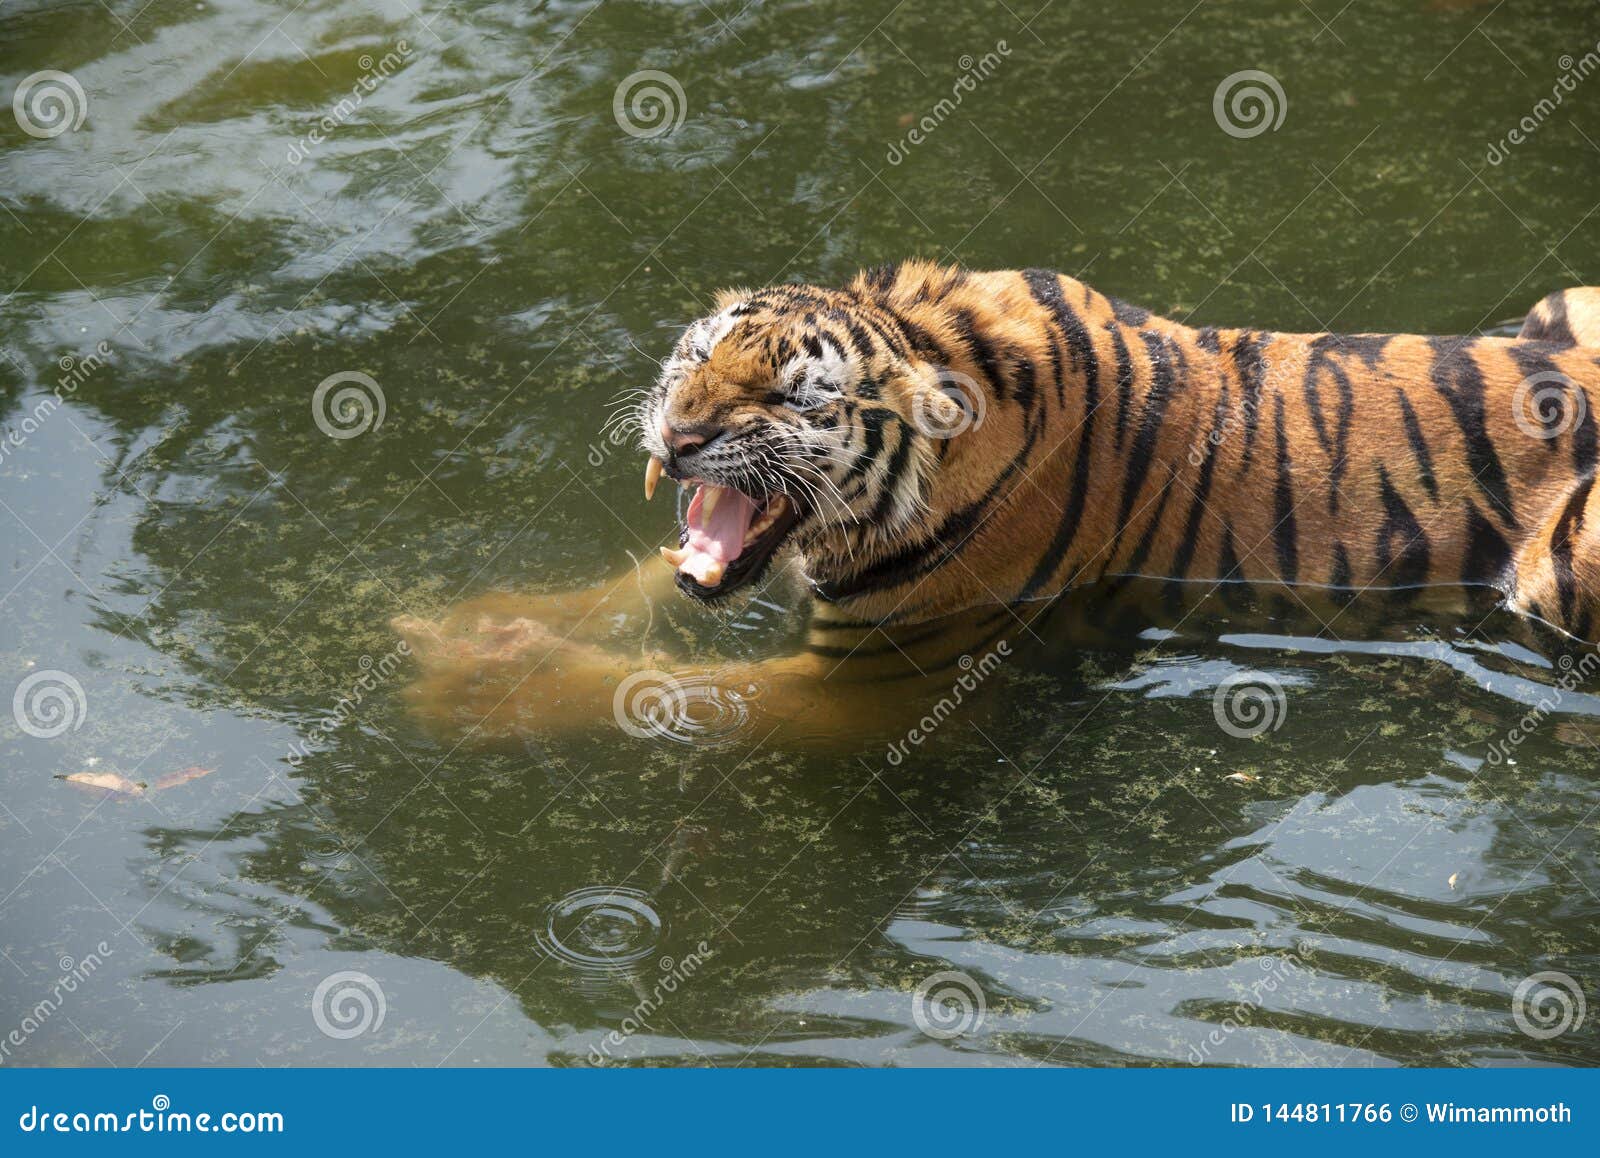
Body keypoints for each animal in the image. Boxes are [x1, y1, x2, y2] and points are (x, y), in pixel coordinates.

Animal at [393, 262, 1600, 741]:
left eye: (793, 395)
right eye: (696, 357)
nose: (679, 435)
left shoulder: (878, 685)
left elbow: (661, 695)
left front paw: (484, 684)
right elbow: (632, 588)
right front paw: (477, 623)